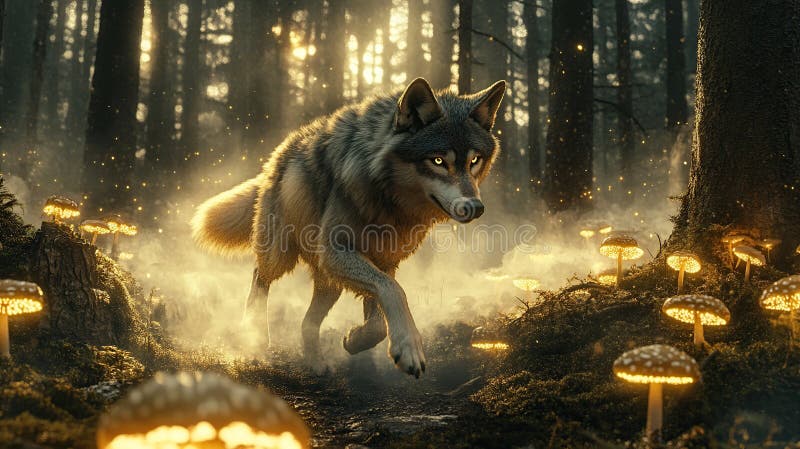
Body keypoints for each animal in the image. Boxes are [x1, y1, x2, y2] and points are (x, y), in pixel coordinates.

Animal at [191, 77, 505, 377]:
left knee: (307, 322)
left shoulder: (383, 261)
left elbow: (379, 318)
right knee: (259, 277)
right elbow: (394, 291)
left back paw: (316, 364)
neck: (389, 199)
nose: (475, 207)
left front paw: (355, 340)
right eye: (439, 161)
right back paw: (255, 336)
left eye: (474, 160)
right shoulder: (337, 251)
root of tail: (277, 156)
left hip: (329, 280)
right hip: (282, 255)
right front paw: (408, 348)